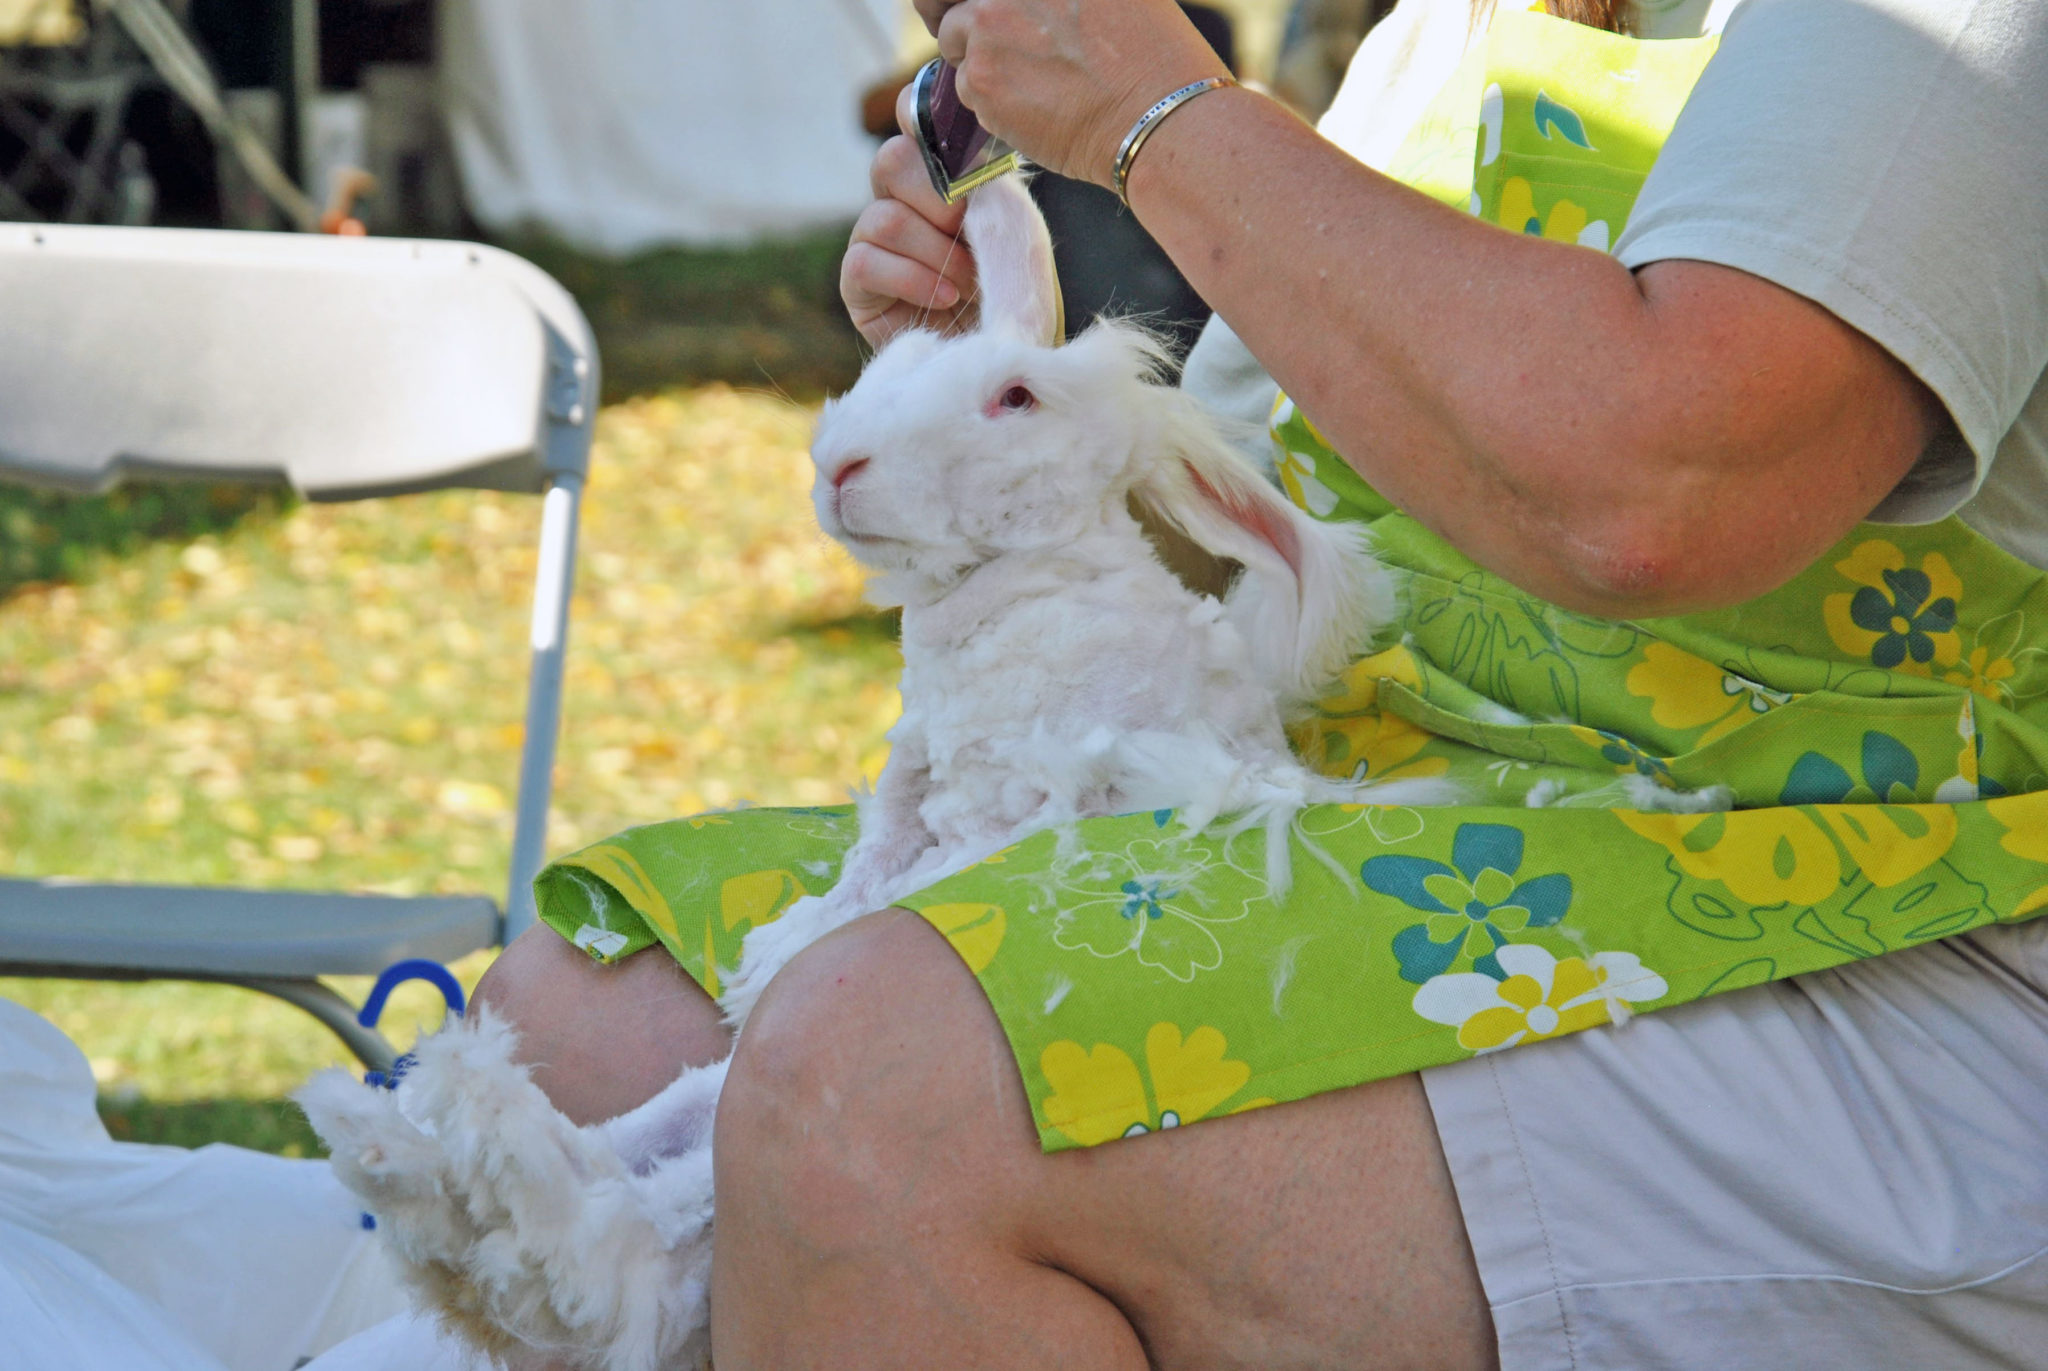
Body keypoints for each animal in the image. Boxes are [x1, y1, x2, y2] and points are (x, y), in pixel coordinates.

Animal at [297, 173, 1440, 1371]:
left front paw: (785, 958)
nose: (836, 465)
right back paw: (425, 1165)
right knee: (658, 1145)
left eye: (1015, 398)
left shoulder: (1030, 800)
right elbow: (859, 874)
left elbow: (924, 876)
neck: (1010, 598)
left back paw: (480, 1194)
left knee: (647, 1228)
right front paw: (769, 955)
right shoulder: (908, 784)